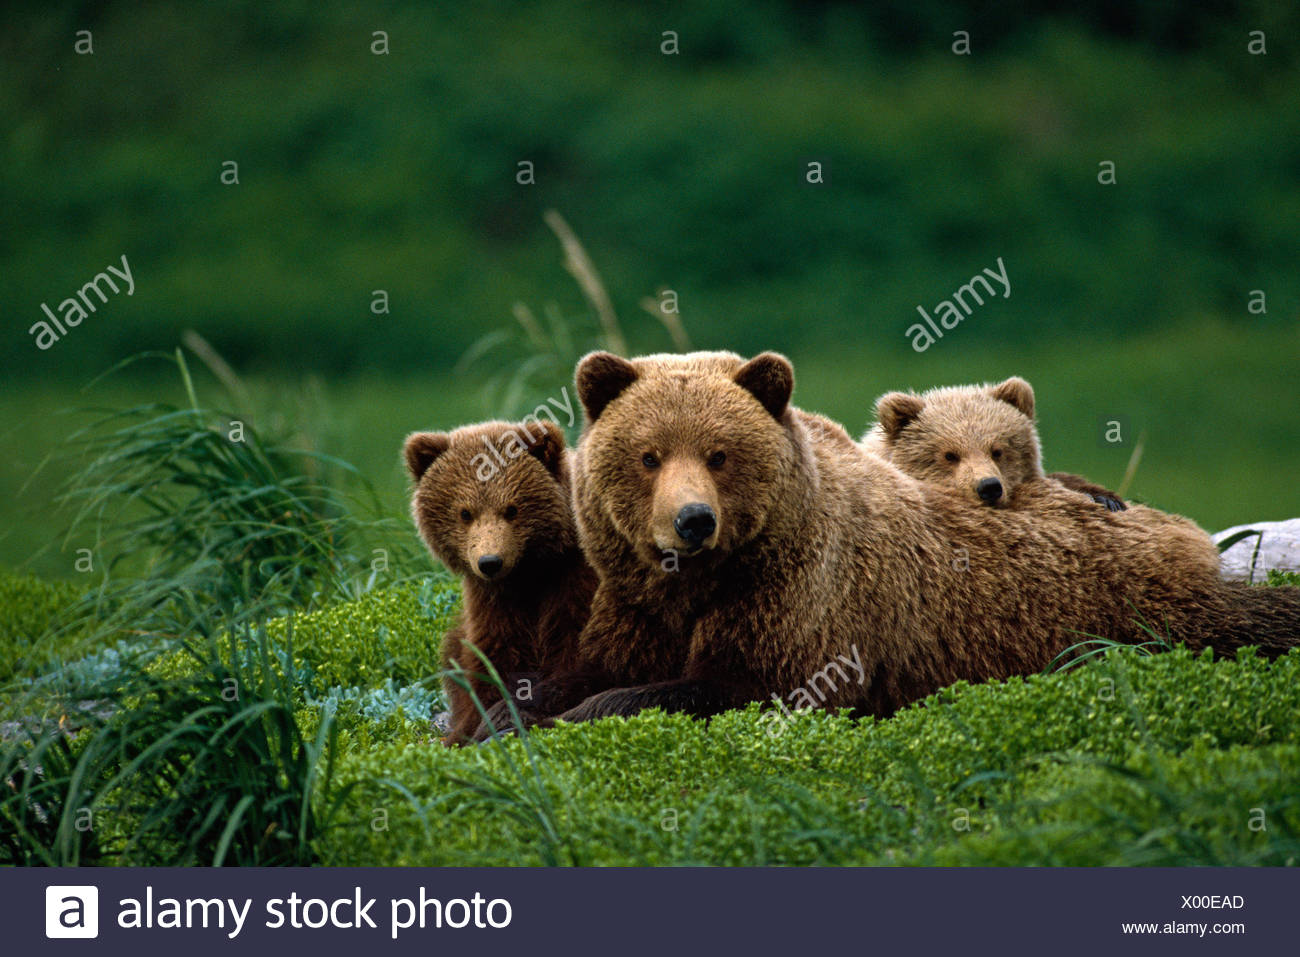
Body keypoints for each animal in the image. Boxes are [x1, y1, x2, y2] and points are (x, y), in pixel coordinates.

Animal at [403, 419, 597, 744]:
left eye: (512, 509)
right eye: (465, 512)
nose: (490, 562)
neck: (528, 573)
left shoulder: (573, 582)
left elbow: (571, 648)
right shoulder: (492, 602)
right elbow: (496, 657)